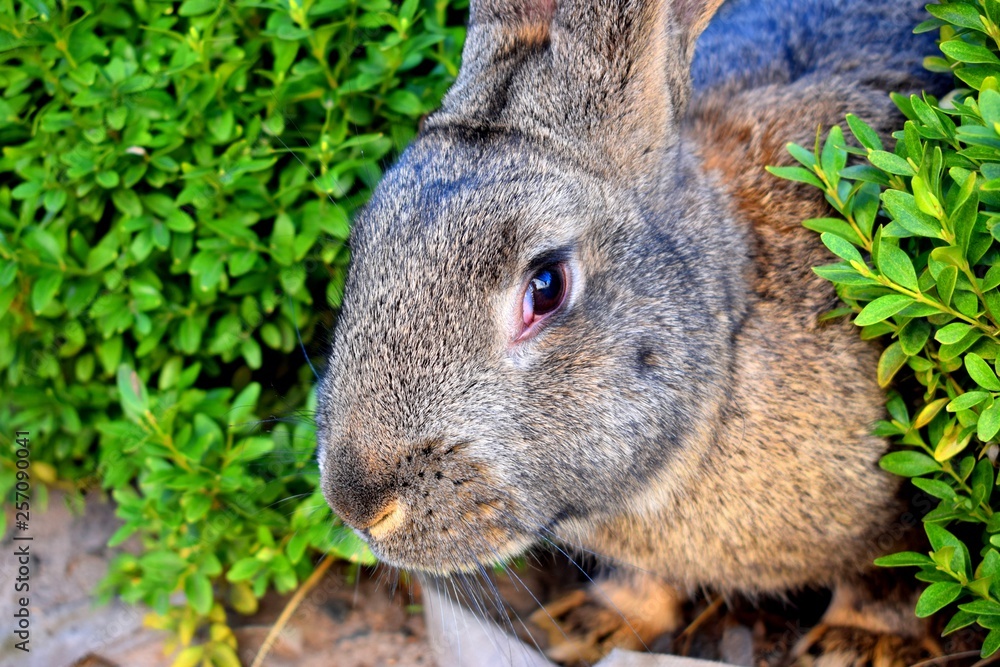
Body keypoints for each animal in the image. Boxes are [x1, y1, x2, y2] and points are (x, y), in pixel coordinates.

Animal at [315, 0, 947, 662]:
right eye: (361, 250)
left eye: (546, 286)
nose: (357, 505)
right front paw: (593, 627)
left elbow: (897, 572)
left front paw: (860, 643)